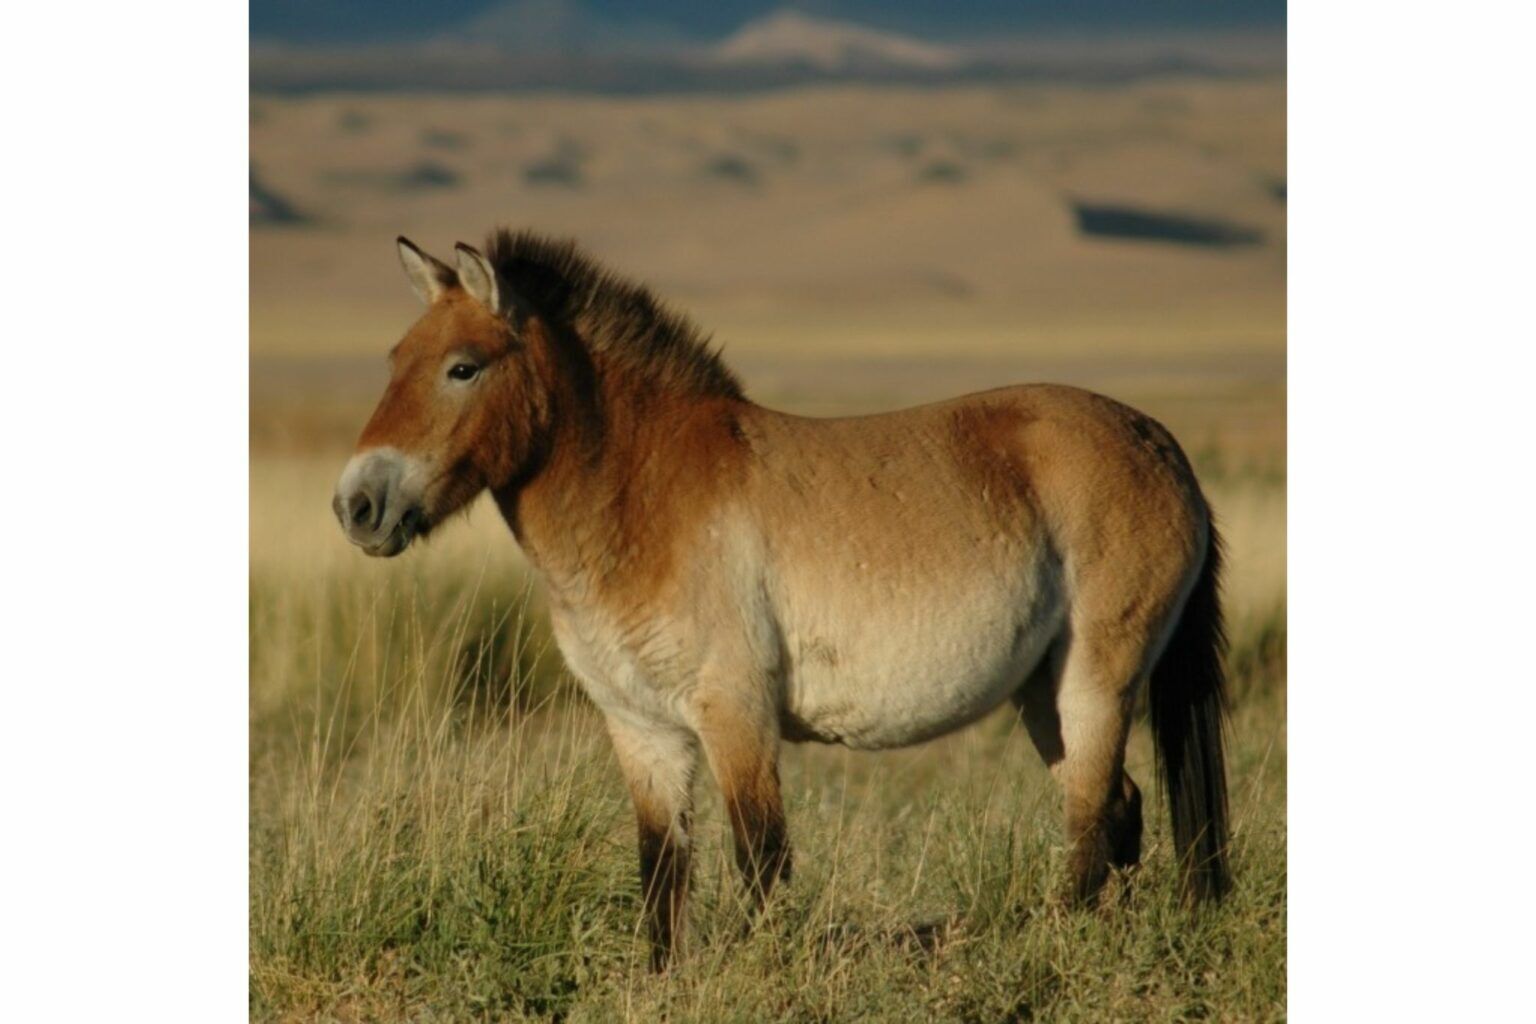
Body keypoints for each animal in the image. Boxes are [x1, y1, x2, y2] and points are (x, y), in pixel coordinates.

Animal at [333, 229, 1231, 970]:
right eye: (393, 359)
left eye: (463, 367)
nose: (357, 506)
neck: (644, 497)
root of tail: (1160, 444)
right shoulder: (641, 728)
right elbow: (662, 870)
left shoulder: (735, 714)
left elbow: (760, 859)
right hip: (1042, 693)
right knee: (1118, 808)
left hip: (1096, 682)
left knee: (1092, 822)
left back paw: (1060, 949)